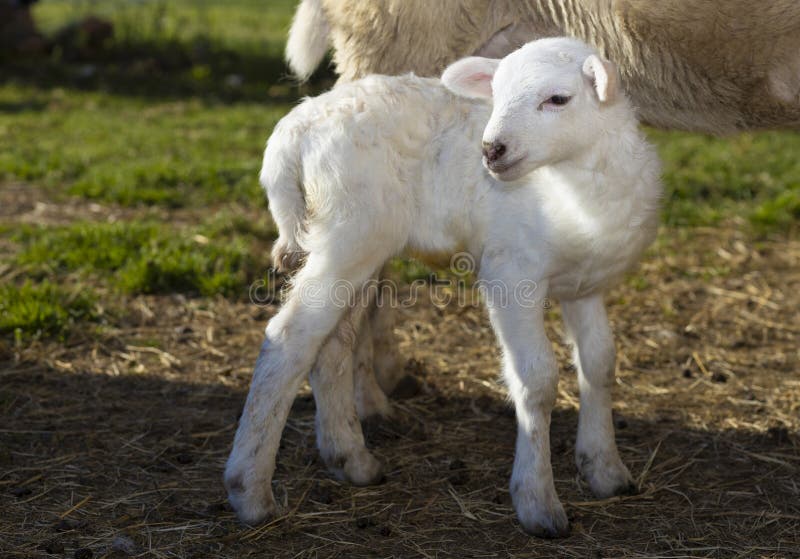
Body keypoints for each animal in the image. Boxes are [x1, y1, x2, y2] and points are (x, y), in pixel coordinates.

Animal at [225, 37, 662, 537]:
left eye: (558, 99)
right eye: (496, 92)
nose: (491, 149)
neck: (573, 184)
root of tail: (292, 132)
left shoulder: (584, 286)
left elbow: (600, 364)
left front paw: (606, 469)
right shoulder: (510, 274)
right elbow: (537, 380)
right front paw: (538, 502)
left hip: (356, 245)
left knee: (332, 345)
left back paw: (351, 459)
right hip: (349, 235)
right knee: (288, 340)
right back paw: (250, 490)